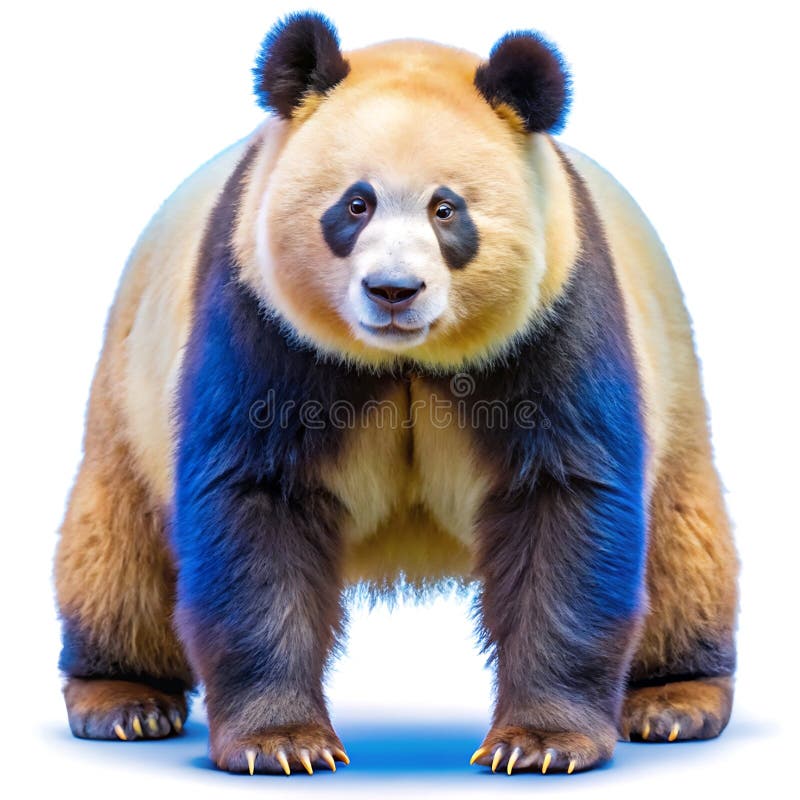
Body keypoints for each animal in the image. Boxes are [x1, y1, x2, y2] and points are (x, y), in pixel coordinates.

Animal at [54, 12, 738, 776]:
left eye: (447, 210)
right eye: (355, 205)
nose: (393, 291)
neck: (405, 358)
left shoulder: (556, 314)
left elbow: (564, 499)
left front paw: (539, 744)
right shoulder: (260, 317)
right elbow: (256, 499)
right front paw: (281, 743)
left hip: (676, 394)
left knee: (683, 551)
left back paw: (673, 700)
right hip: (127, 390)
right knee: (116, 552)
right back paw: (124, 701)